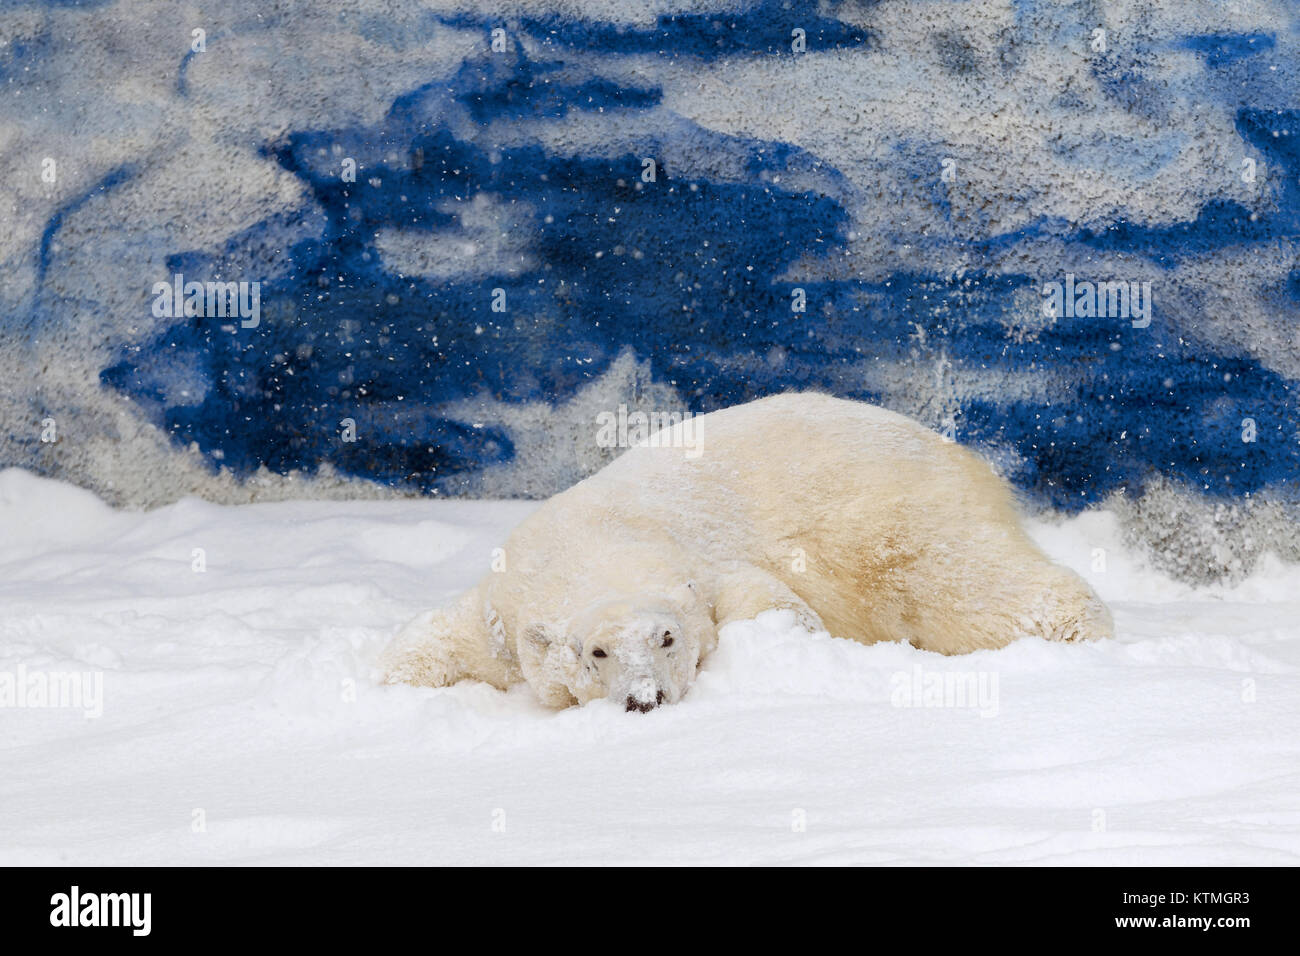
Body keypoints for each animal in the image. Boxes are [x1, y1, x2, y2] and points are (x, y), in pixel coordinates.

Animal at [380, 393, 1113, 711]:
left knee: (972, 589)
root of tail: (959, 453)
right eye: (598, 652)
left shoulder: (703, 564)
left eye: (667, 638)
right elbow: (432, 644)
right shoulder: (502, 606)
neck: (587, 546)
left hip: (897, 520)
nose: (644, 699)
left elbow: (766, 603)